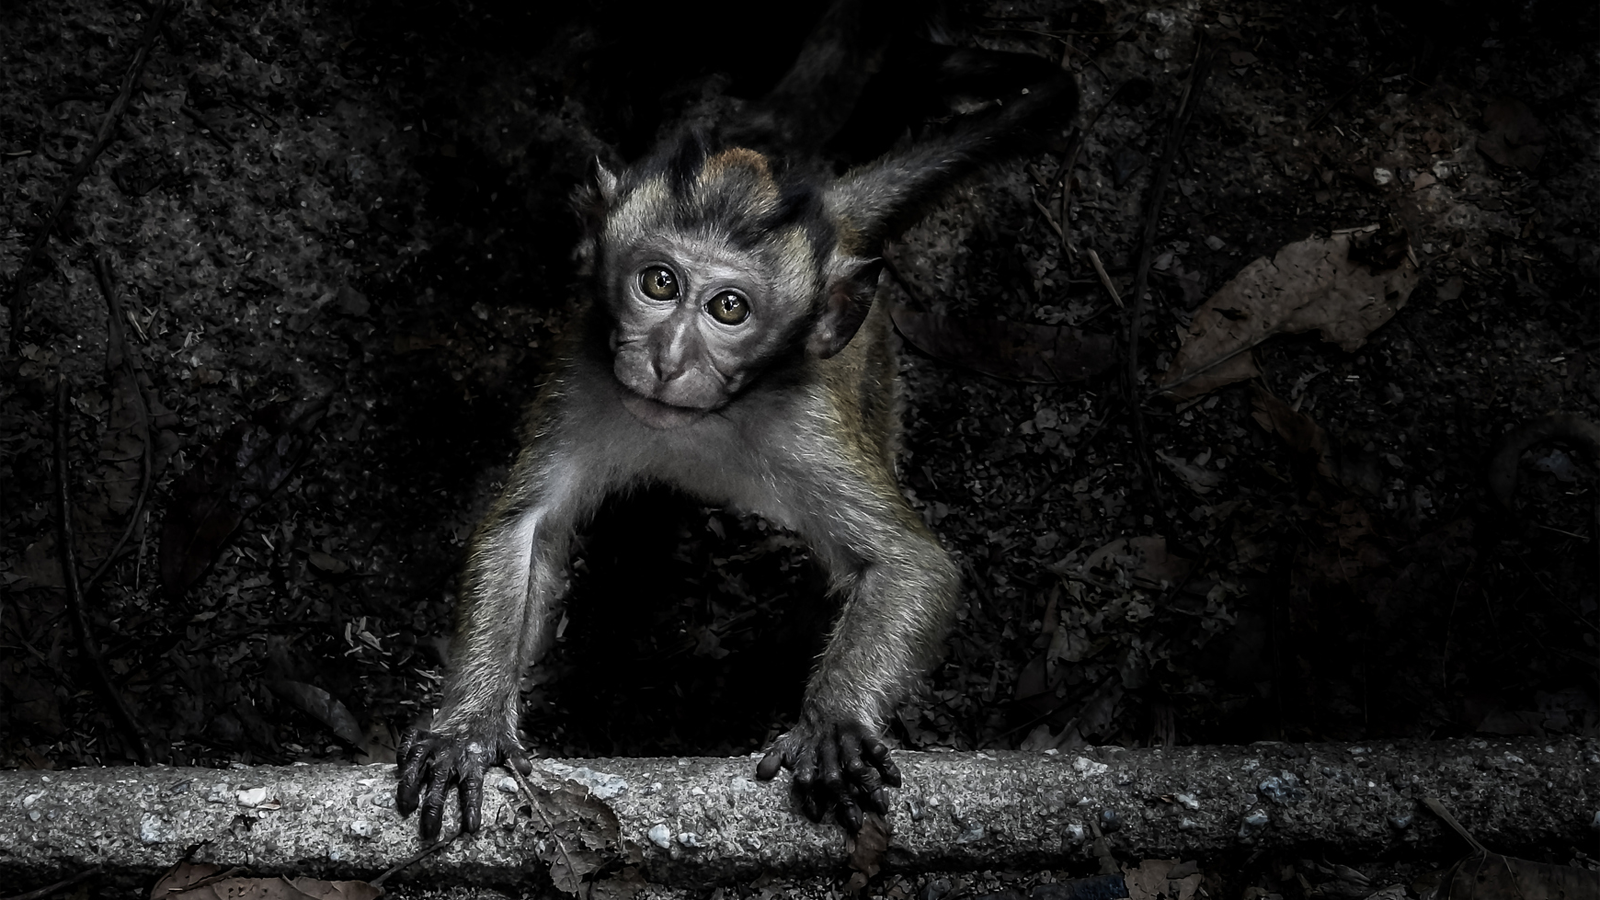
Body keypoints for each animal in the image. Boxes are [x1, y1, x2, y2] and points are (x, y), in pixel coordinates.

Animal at [396, 3, 1078, 837]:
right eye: (659, 283)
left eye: (729, 308)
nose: (667, 357)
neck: (700, 427)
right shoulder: (581, 378)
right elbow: (522, 526)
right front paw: (467, 725)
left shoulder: (804, 421)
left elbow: (912, 564)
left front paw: (833, 722)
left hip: (876, 369)